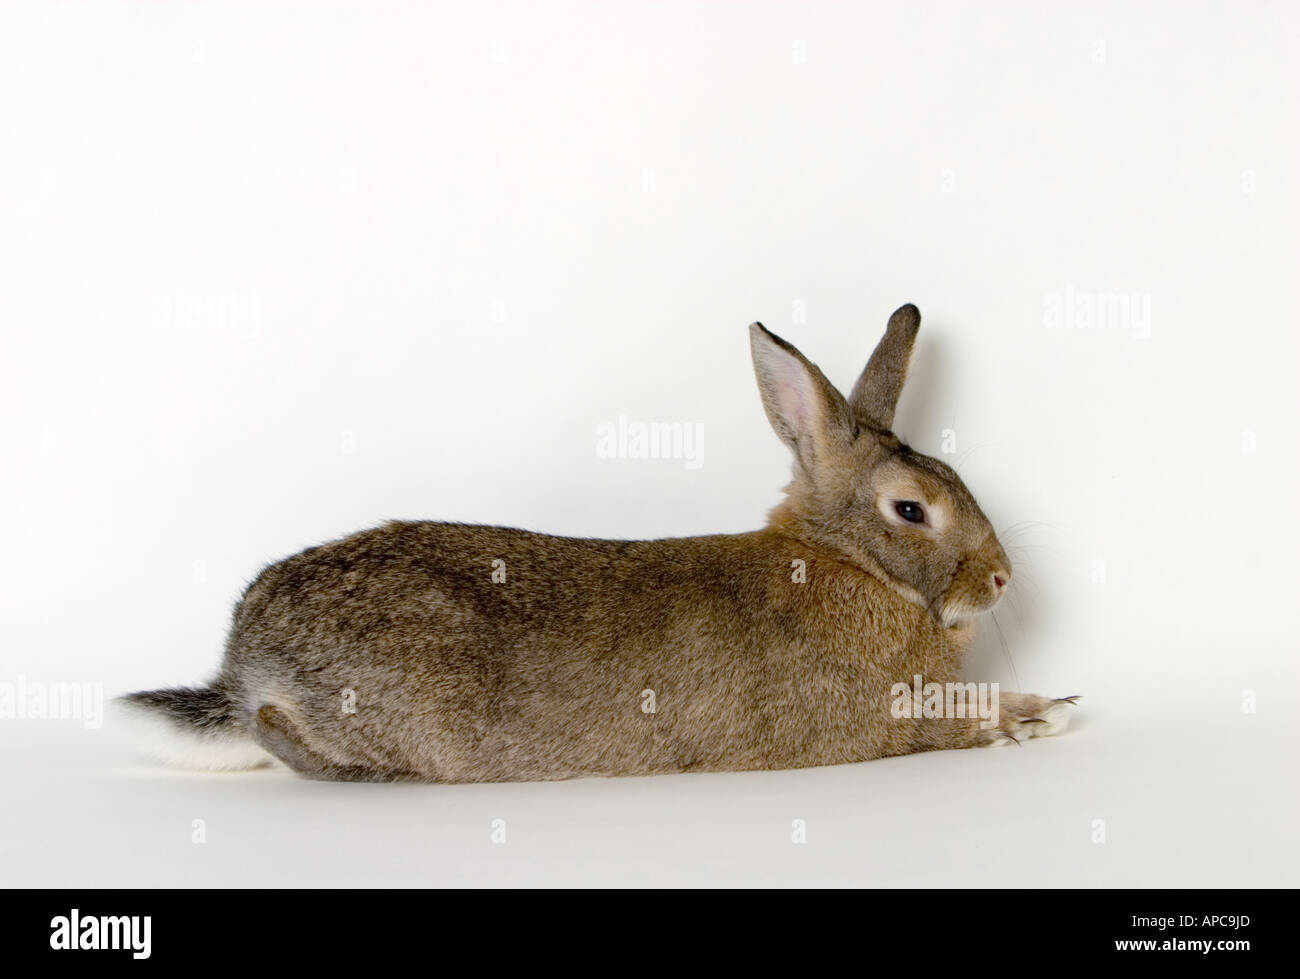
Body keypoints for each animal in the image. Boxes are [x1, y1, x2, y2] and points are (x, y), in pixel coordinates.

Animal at [118, 303, 1077, 782]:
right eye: (911, 509)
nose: (1001, 577)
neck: (847, 562)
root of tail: (243, 665)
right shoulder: (881, 717)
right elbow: (954, 720)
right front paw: (1041, 714)